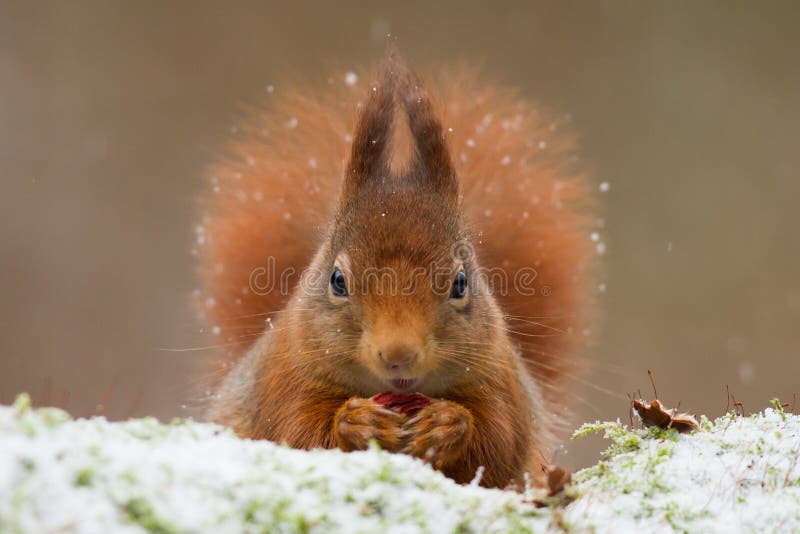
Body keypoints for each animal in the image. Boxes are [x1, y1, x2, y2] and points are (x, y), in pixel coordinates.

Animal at [197, 53, 595, 489]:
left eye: (460, 283)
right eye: (337, 280)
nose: (399, 355)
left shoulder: (498, 378)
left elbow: (498, 441)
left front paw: (448, 424)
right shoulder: (285, 376)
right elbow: (295, 430)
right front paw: (356, 422)